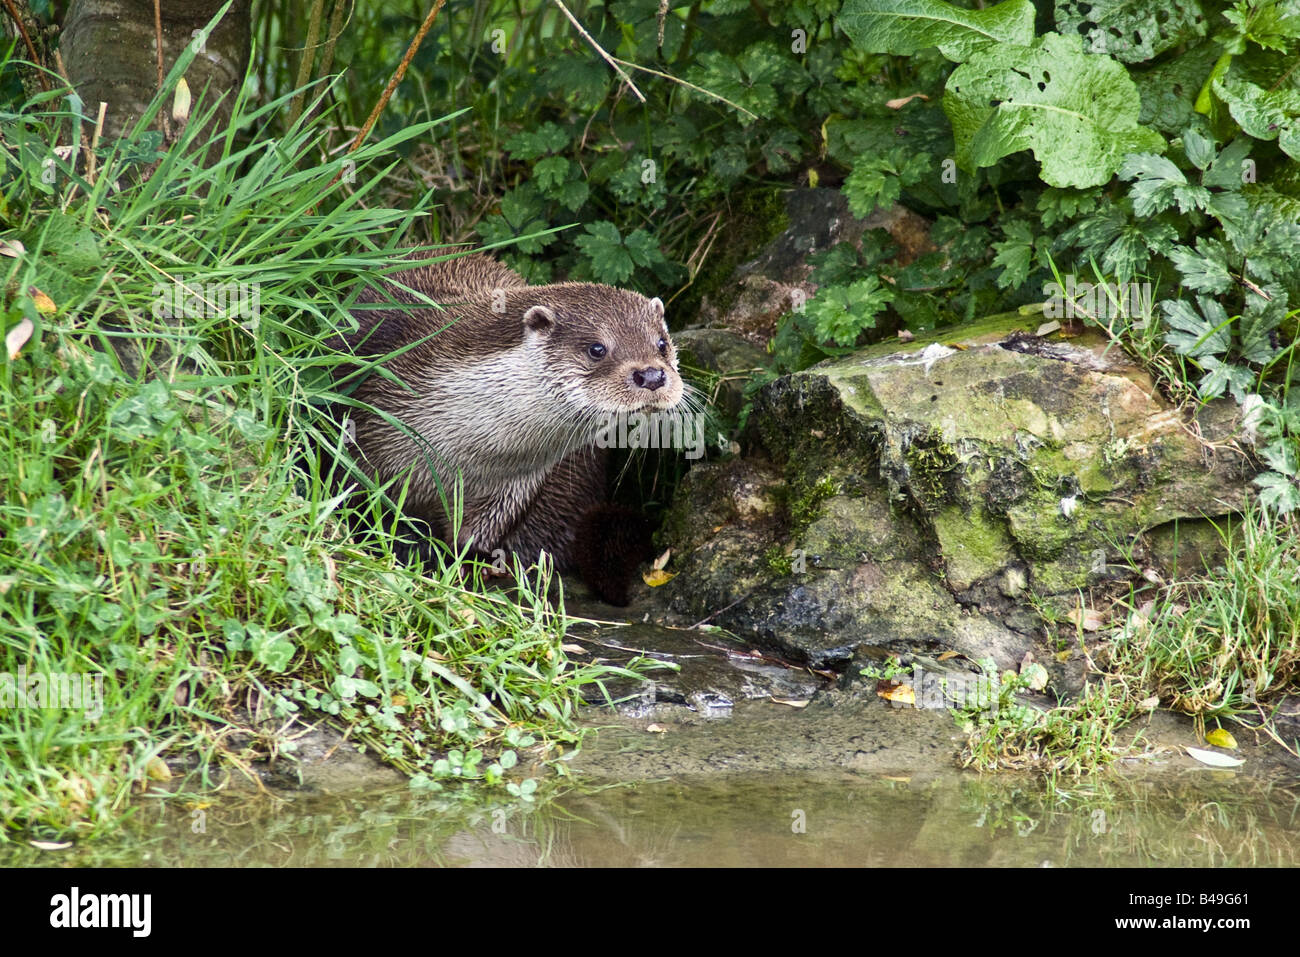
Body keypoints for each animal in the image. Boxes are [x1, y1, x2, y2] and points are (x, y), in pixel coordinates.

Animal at [328, 252, 684, 605]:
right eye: (596, 348)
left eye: (662, 343)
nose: (652, 375)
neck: (459, 455)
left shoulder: (514, 486)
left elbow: (478, 534)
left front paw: (470, 565)